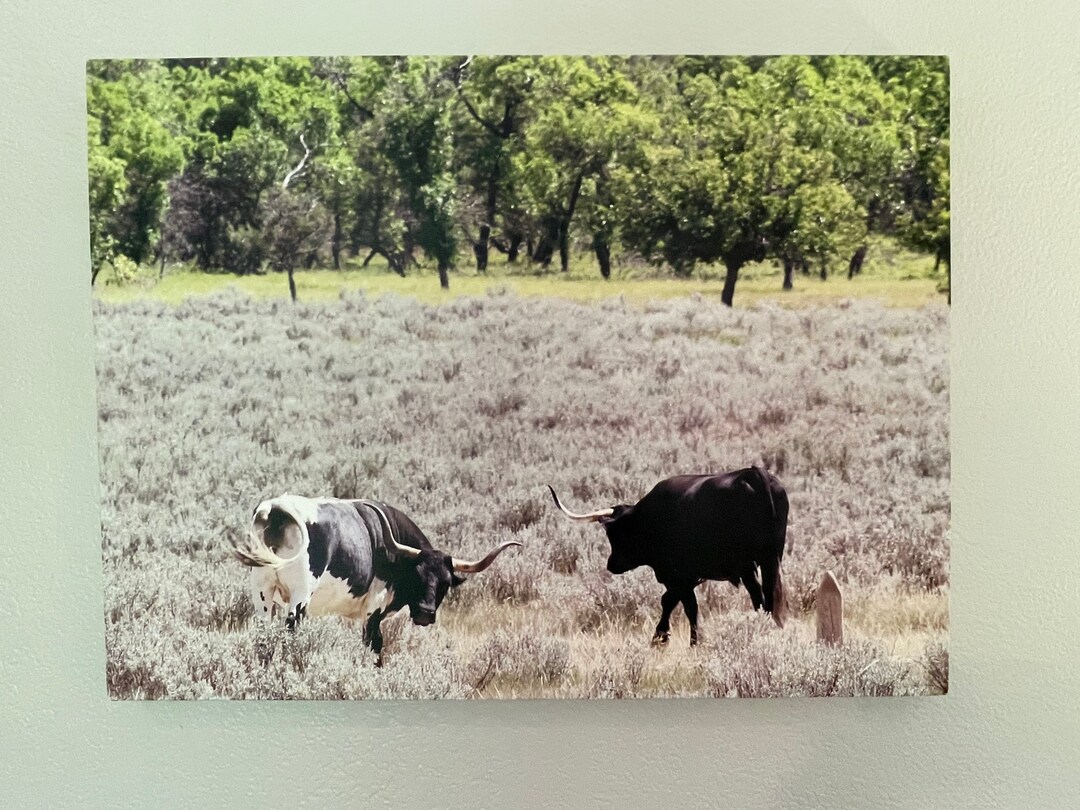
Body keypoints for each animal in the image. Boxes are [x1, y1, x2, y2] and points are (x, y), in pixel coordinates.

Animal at [230, 494, 521, 658]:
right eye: (417, 575)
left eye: (446, 584)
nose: (426, 612)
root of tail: (276, 509)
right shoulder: (373, 611)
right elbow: (374, 646)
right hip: (300, 597)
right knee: (290, 631)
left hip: (262, 593)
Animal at [547, 466, 789, 647]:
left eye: (616, 534)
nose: (611, 565)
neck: (650, 518)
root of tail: (754, 473)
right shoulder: (689, 578)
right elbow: (676, 602)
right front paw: (664, 637)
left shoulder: (679, 576)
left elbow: (681, 604)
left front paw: (675, 640)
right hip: (760, 563)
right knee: (761, 598)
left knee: (764, 597)